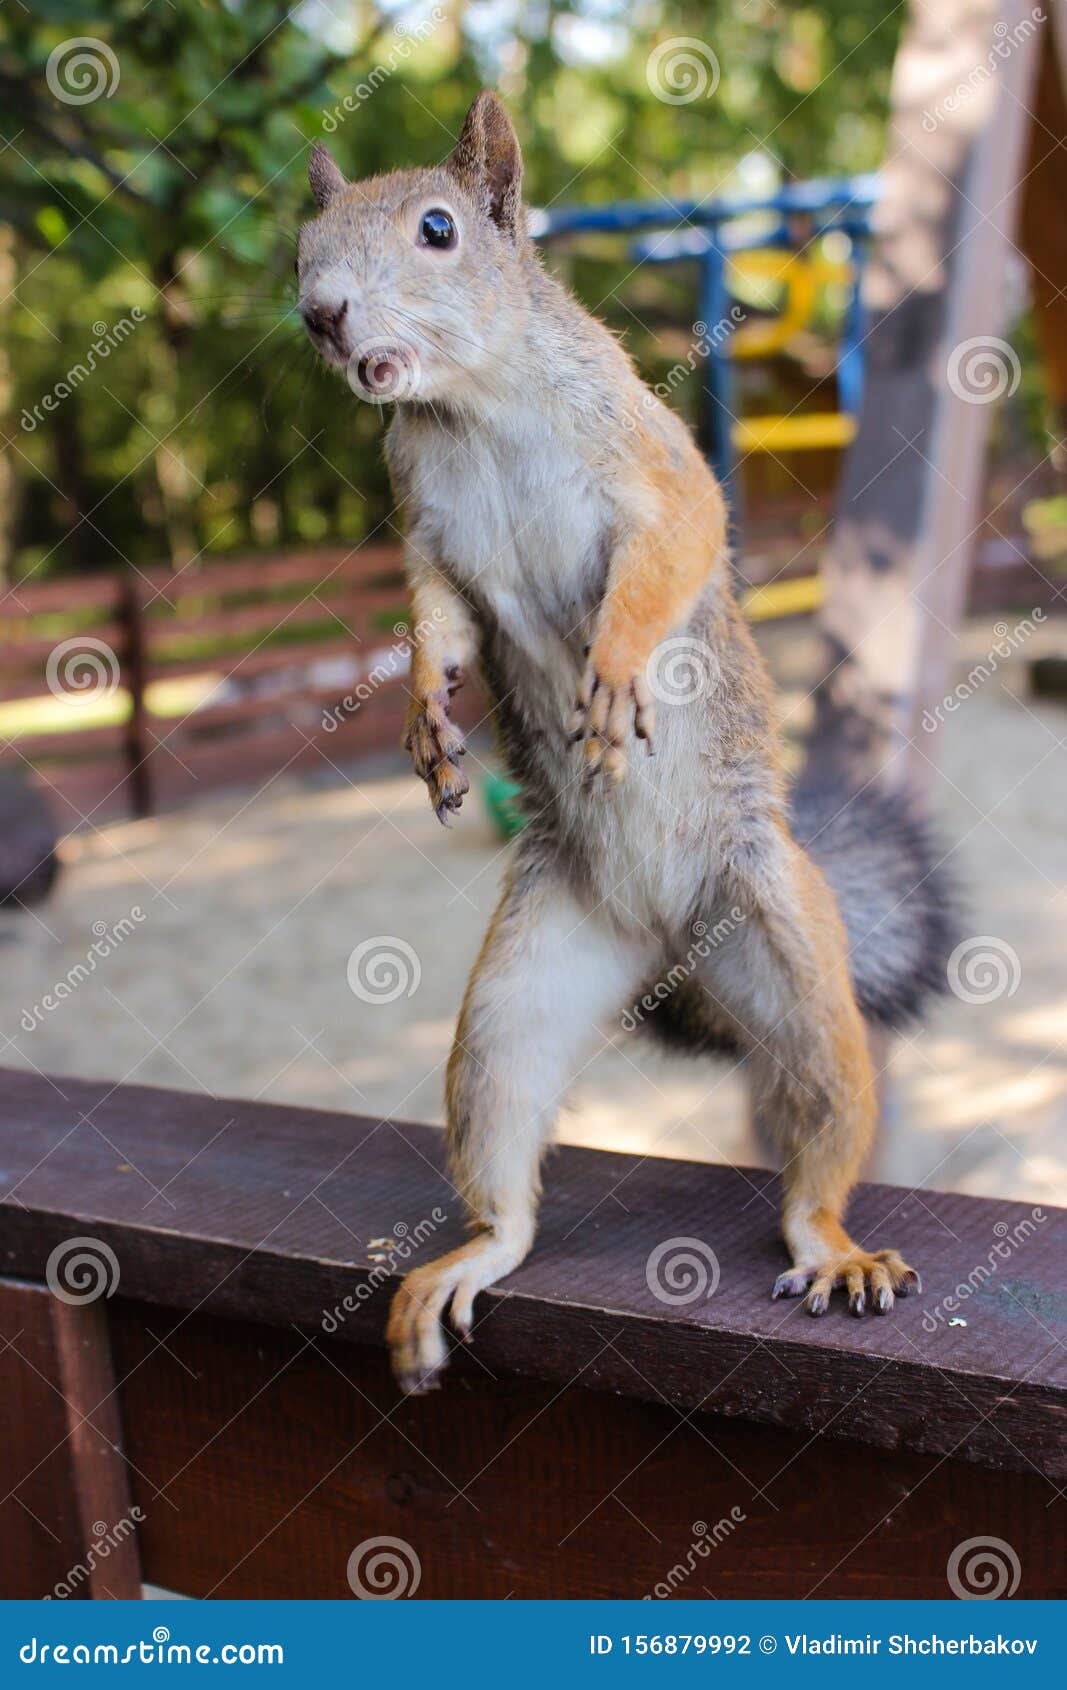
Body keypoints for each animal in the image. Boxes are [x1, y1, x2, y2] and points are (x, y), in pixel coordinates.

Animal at [297, 91, 955, 1394]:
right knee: (506, 1163)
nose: (320, 313)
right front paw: (426, 718)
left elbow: (667, 555)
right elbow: (433, 621)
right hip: (515, 1008)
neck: (469, 407)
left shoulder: (648, 462)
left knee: (819, 1147)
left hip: (790, 954)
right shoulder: (428, 535)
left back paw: (836, 1246)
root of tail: (662, 942)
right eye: (305, 242)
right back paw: (473, 1253)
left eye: (438, 228)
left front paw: (607, 672)